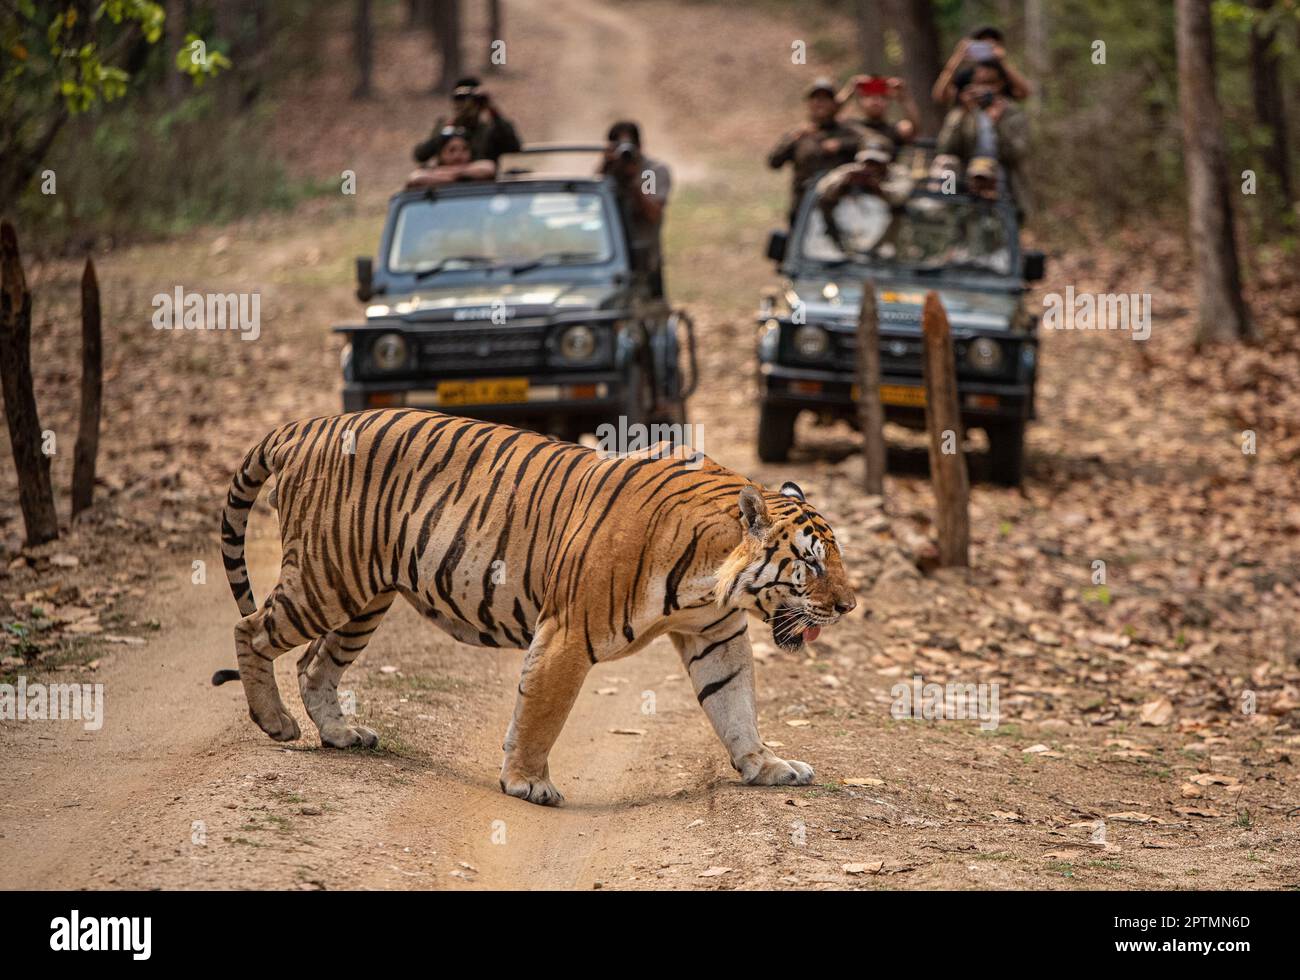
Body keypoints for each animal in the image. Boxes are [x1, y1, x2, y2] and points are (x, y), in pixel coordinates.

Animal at [213, 409, 856, 806]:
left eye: (837, 559)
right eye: (812, 563)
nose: (849, 606)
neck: (714, 580)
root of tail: (308, 424)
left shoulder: (716, 636)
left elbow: (735, 705)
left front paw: (767, 767)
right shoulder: (570, 632)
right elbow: (541, 713)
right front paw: (526, 784)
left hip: (364, 597)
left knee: (312, 665)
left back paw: (341, 733)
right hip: (325, 580)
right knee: (250, 628)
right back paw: (274, 723)